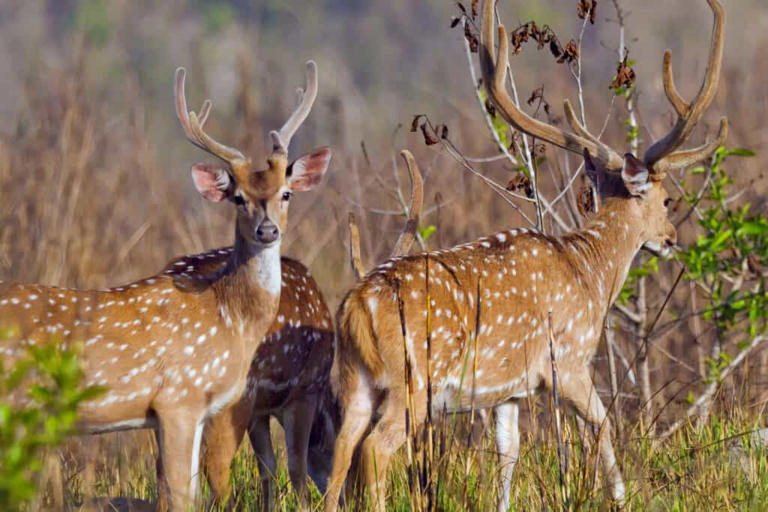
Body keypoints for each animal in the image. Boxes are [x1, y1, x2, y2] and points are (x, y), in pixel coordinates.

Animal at [0, 60, 331, 510]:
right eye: (239, 198)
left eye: (285, 194)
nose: (267, 231)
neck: (229, 316)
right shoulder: (179, 397)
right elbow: (179, 494)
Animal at [323, 0, 727, 510]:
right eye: (667, 198)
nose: (672, 239)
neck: (591, 273)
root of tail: (356, 306)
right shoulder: (567, 361)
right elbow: (604, 426)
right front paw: (621, 497)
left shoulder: (507, 392)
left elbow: (507, 457)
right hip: (414, 379)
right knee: (375, 450)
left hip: (353, 380)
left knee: (340, 454)